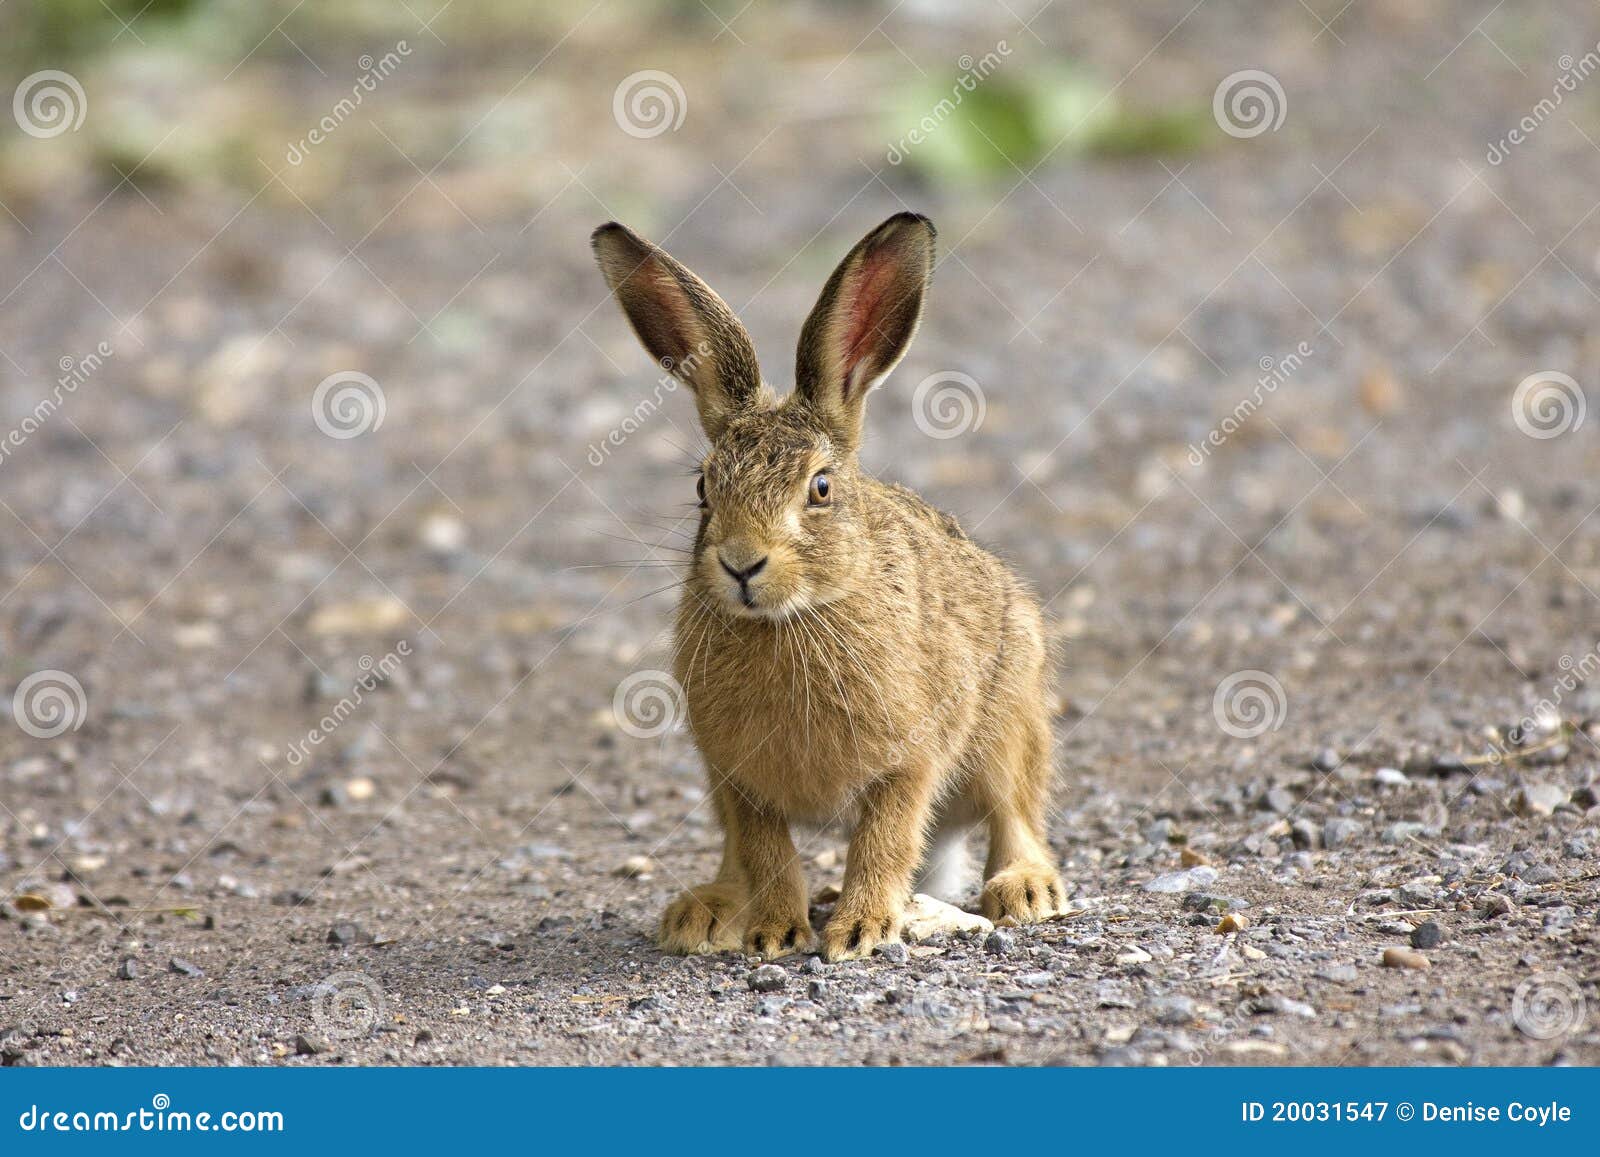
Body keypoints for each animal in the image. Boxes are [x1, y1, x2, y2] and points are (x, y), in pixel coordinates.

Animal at [592, 211, 1065, 961]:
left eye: (819, 488)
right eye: (703, 489)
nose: (742, 563)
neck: (795, 617)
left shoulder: (908, 763)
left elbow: (884, 840)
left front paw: (860, 930)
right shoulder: (737, 779)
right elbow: (766, 852)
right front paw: (777, 932)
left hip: (1011, 716)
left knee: (1013, 809)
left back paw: (1025, 890)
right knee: (736, 857)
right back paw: (708, 912)